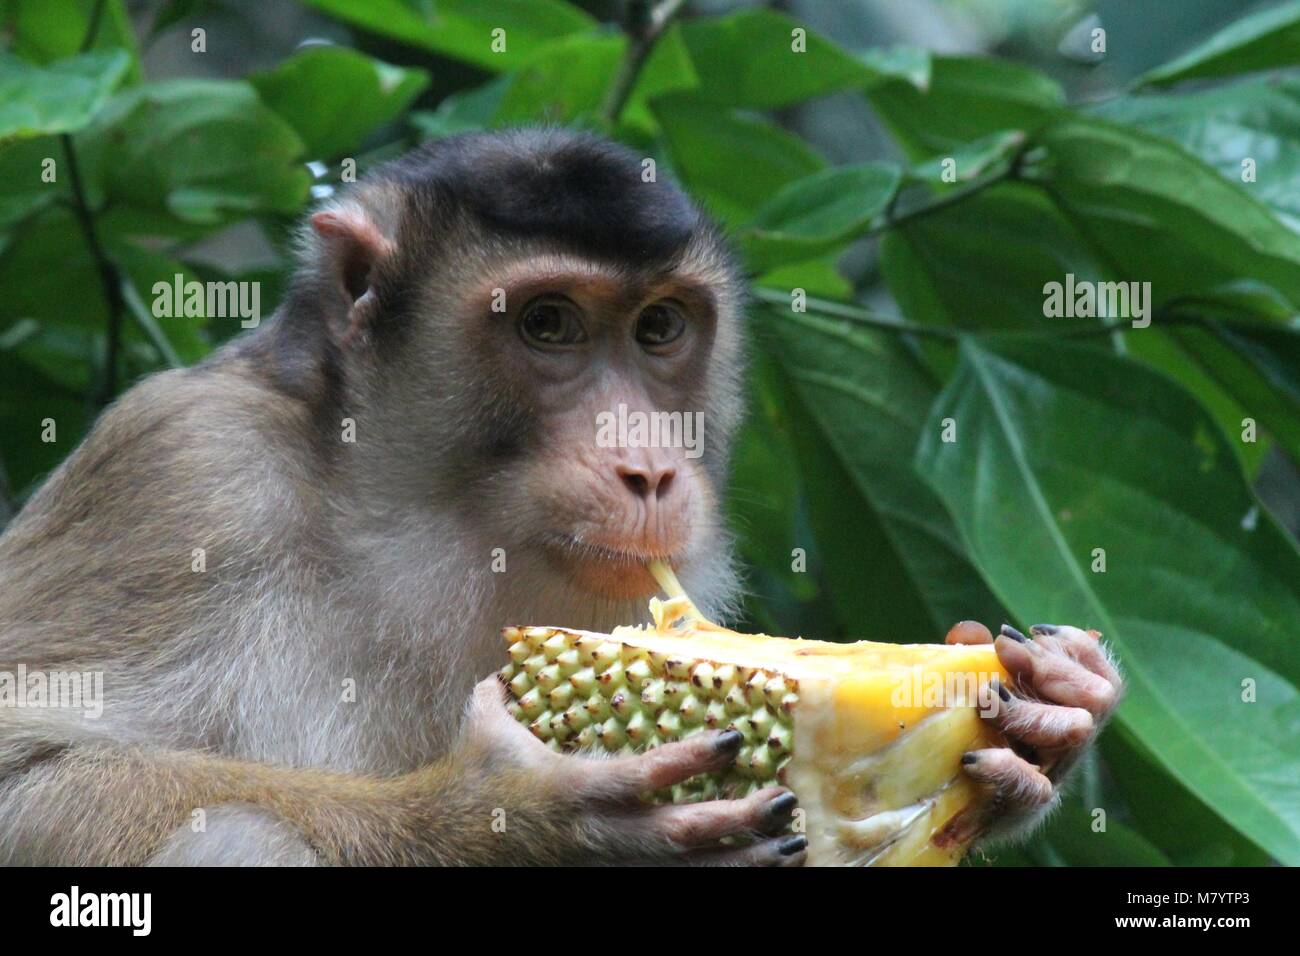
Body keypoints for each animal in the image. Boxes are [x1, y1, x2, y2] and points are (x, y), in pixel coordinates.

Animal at [0, 128, 1121, 866]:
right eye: (546, 323)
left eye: (660, 328)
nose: (649, 471)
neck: (398, 516)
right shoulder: (185, 475)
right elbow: (35, 779)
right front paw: (511, 811)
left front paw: (1047, 715)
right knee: (235, 835)